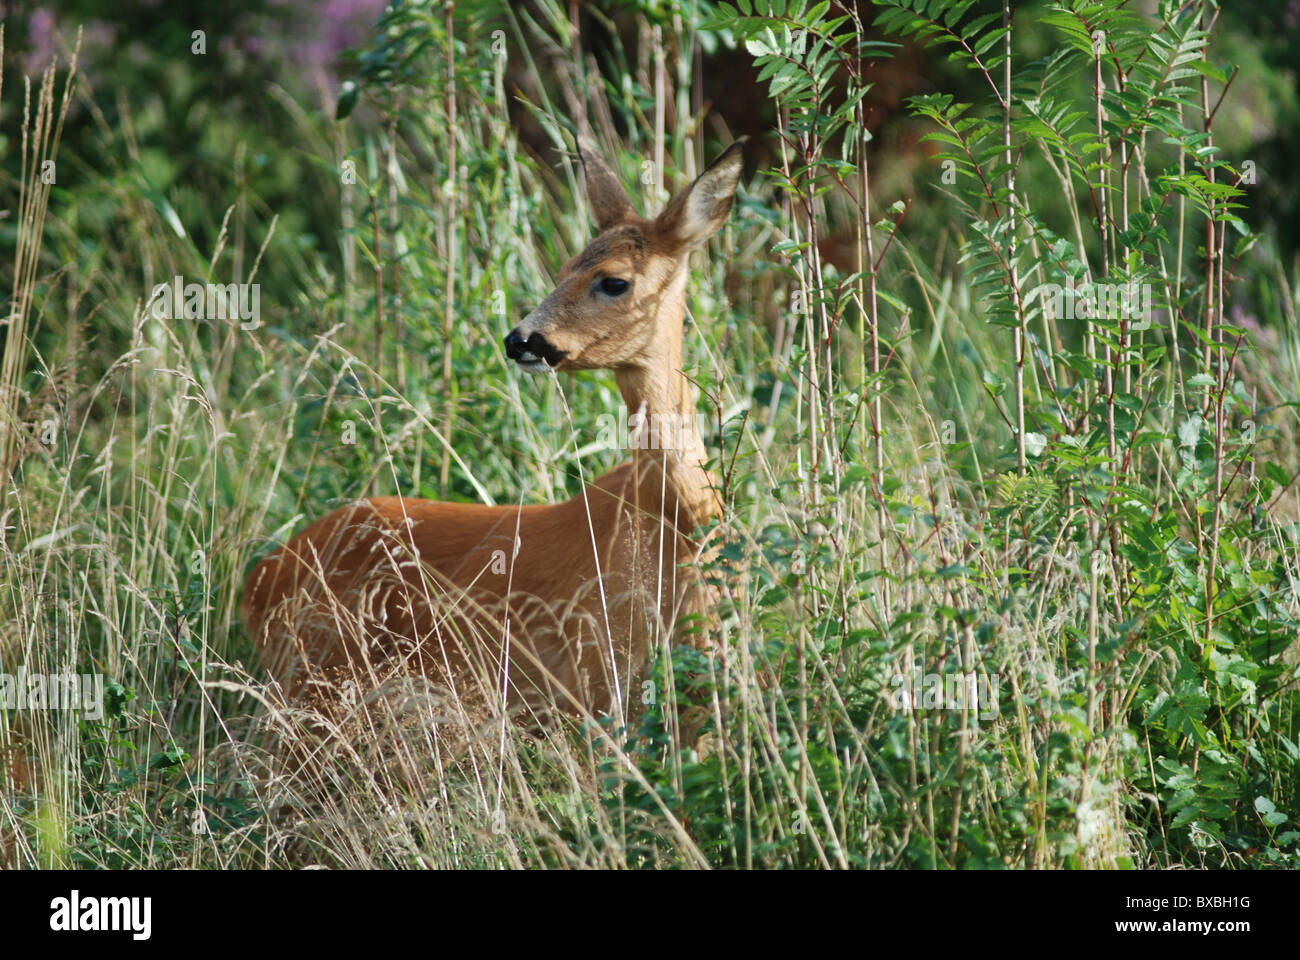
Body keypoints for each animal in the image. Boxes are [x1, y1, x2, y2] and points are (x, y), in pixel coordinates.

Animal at [241, 136, 745, 743]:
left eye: (614, 280)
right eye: (562, 268)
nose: (521, 339)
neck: (680, 520)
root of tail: (257, 578)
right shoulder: (595, 682)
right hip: (317, 677)